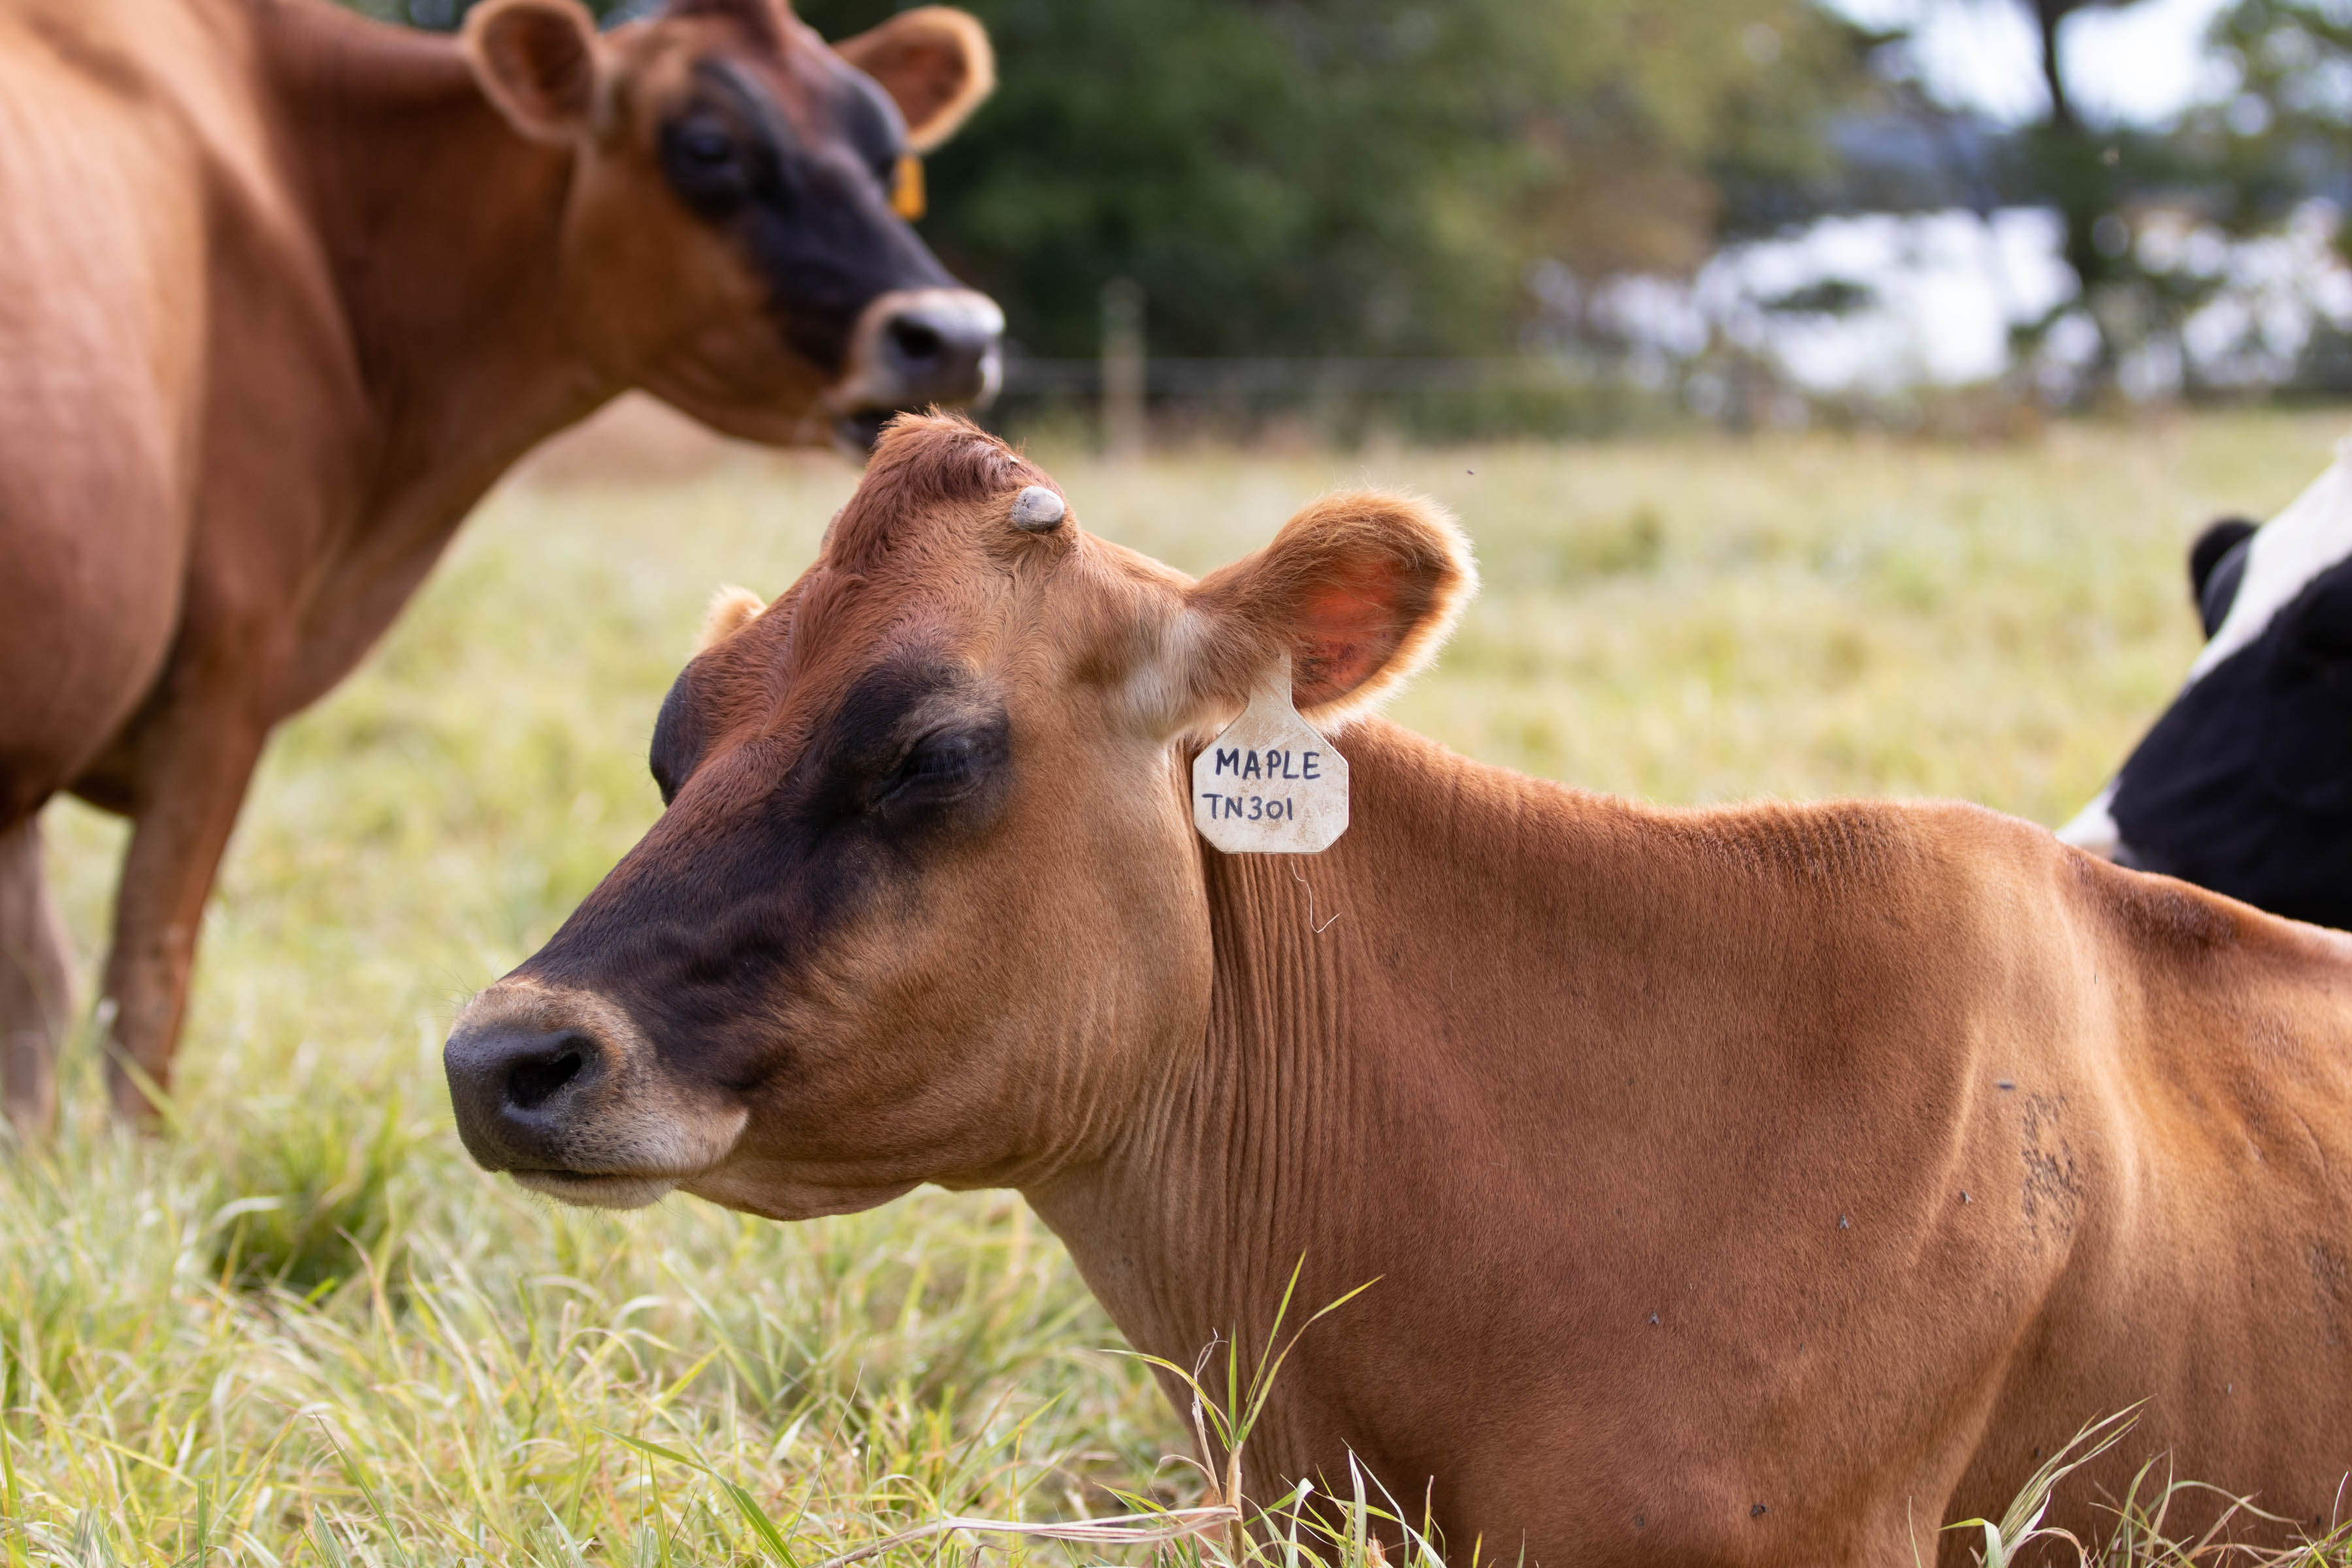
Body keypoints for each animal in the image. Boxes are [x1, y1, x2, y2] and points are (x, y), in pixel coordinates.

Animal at [0, 0, 1004, 1128]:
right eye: (708, 148)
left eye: (889, 158)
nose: (951, 334)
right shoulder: (225, 663)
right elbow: (143, 985)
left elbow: (34, 1004)